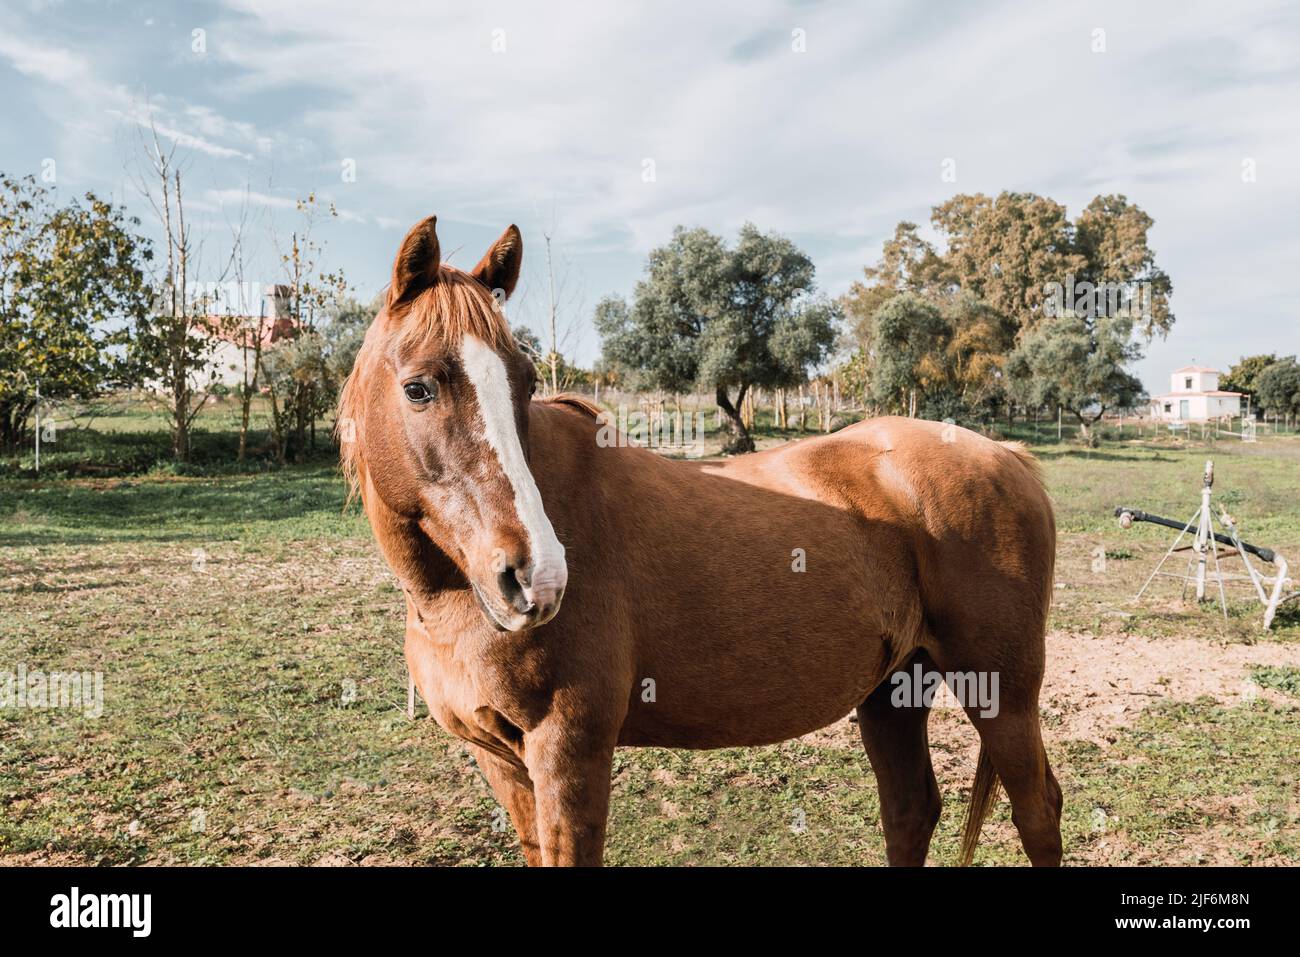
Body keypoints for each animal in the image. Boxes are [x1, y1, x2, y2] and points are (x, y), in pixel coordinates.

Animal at [338, 215, 1062, 866]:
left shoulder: (568, 750)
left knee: (1037, 810)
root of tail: (1006, 457)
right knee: (912, 809)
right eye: (418, 387)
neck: (452, 598)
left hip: (999, 690)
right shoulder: (500, 759)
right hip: (895, 690)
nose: (537, 578)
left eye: (526, 380)